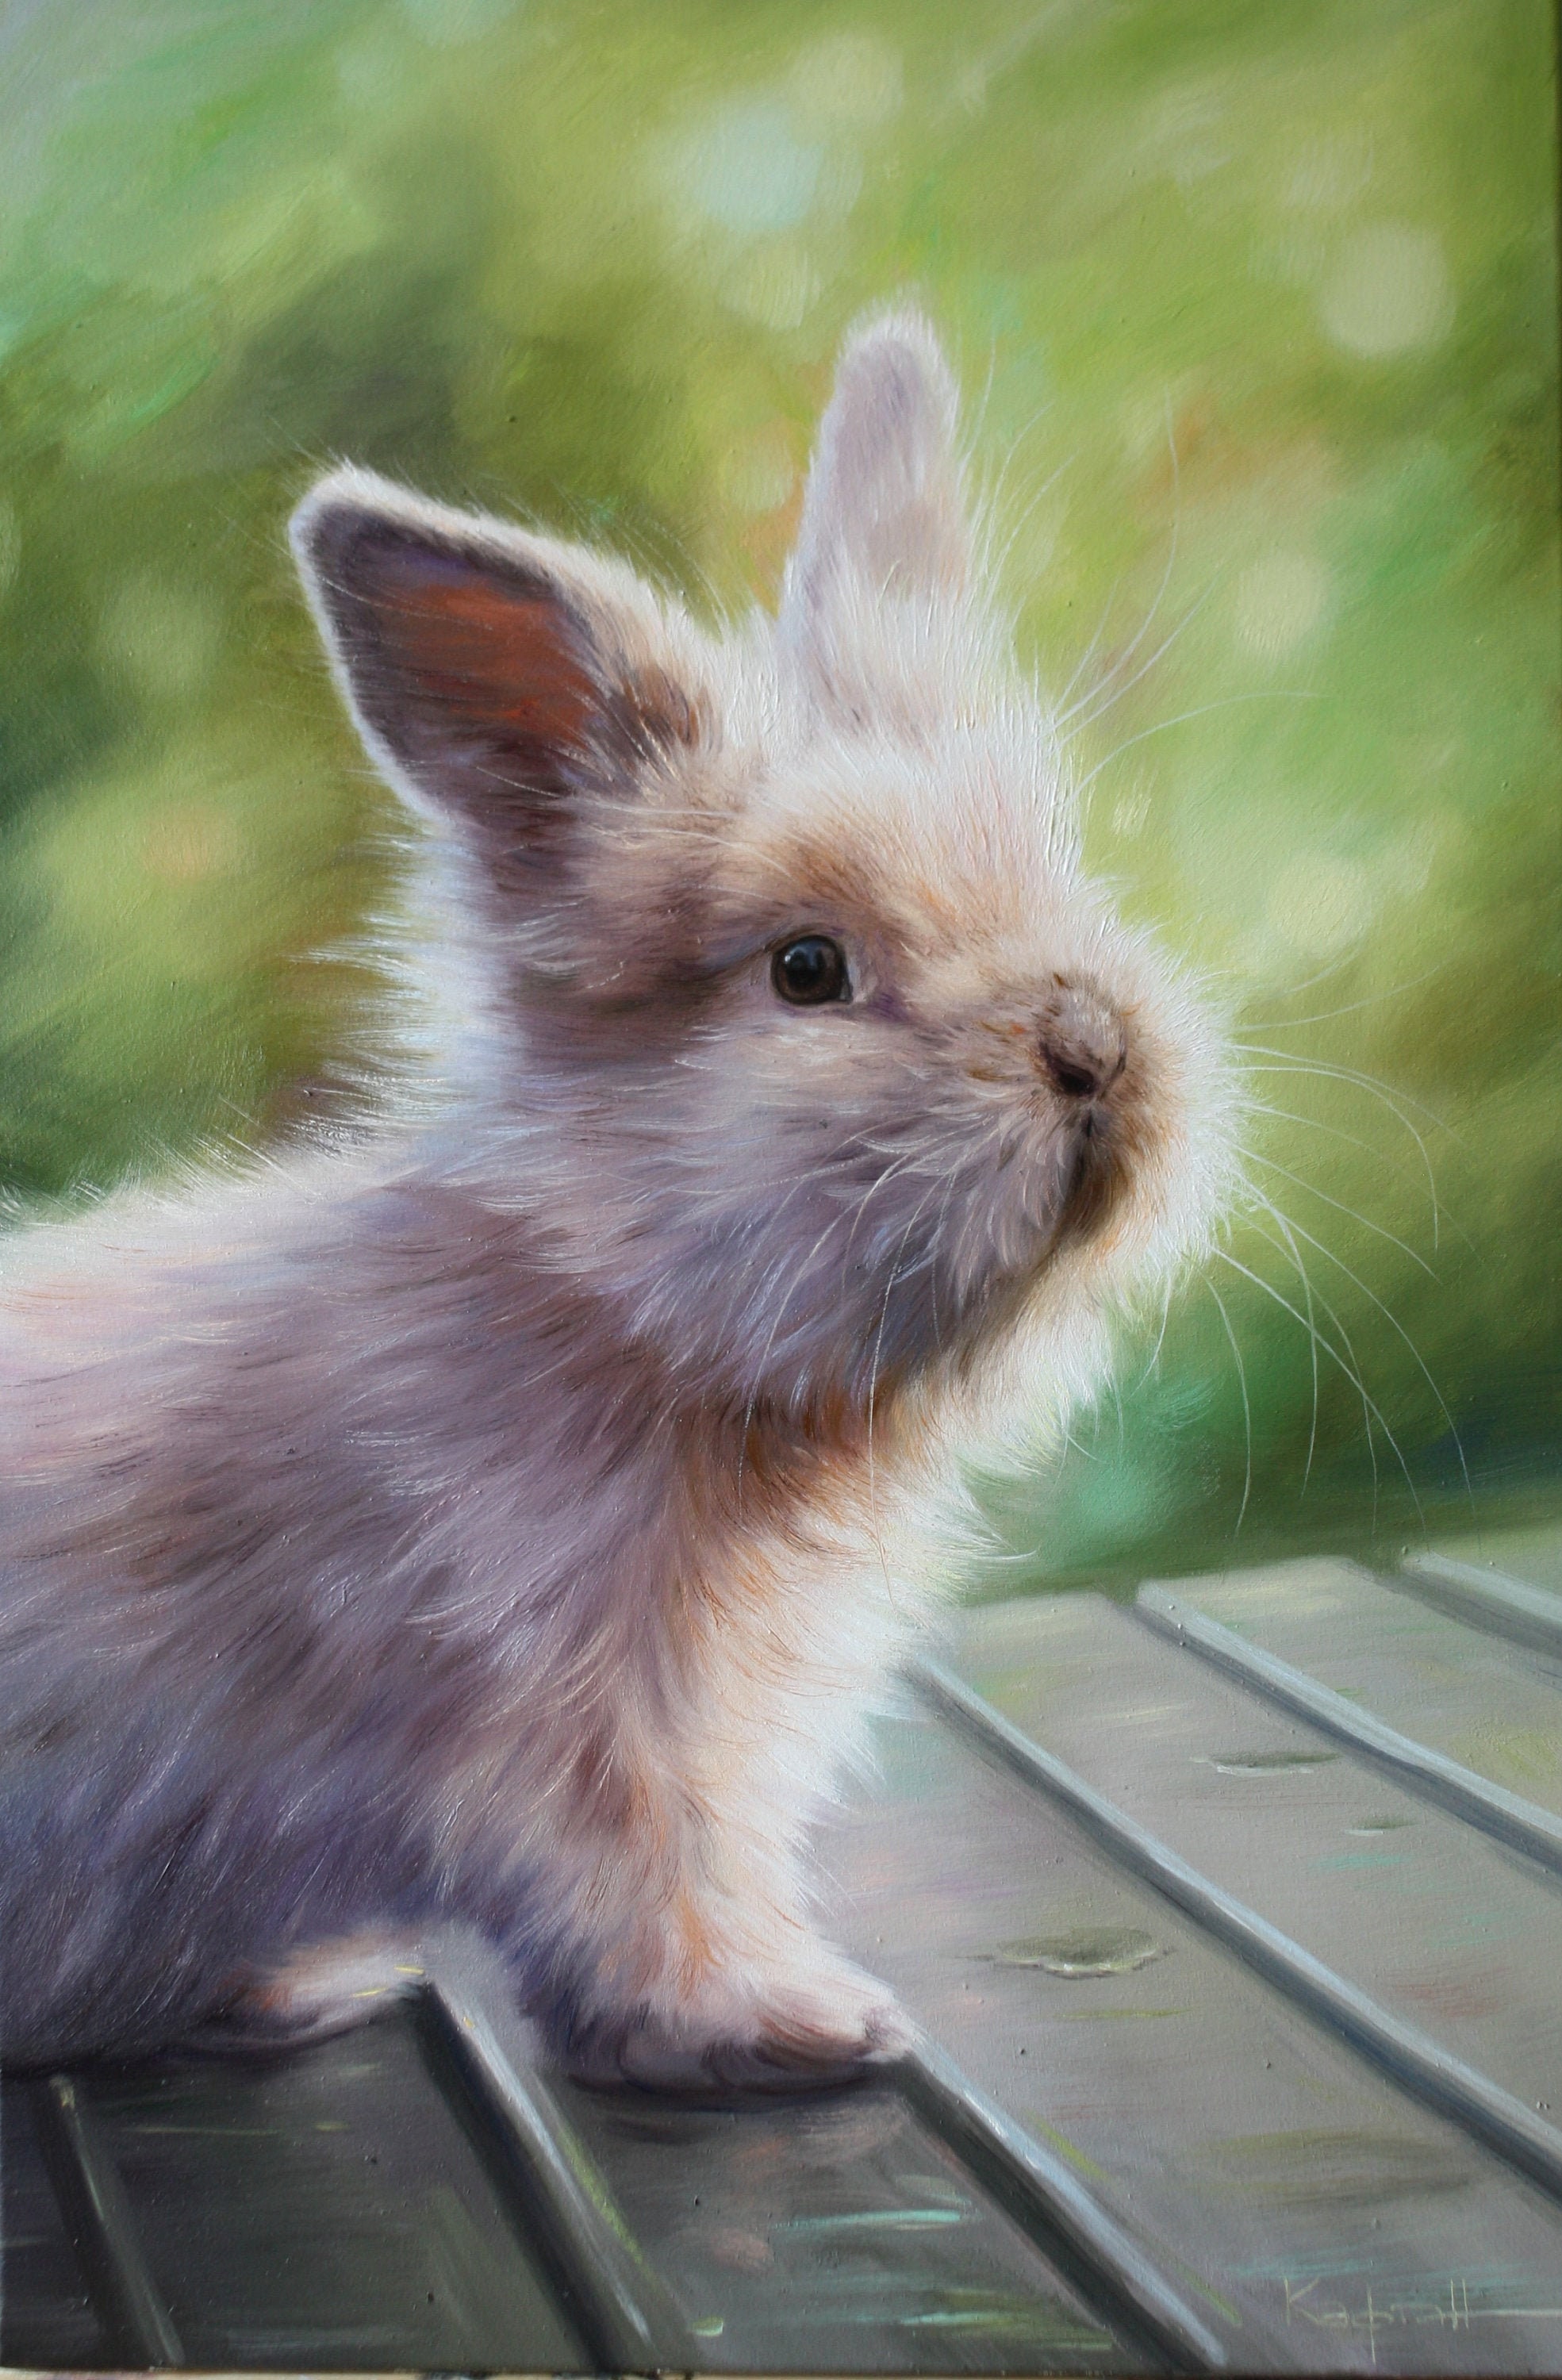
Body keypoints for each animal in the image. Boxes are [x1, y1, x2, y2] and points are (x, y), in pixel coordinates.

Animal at [0, 311, 1235, 2087]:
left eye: (1063, 875)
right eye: (806, 969)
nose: (1094, 1046)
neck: (633, 1313)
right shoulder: (582, 1731)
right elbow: (652, 1886)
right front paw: (799, 2022)